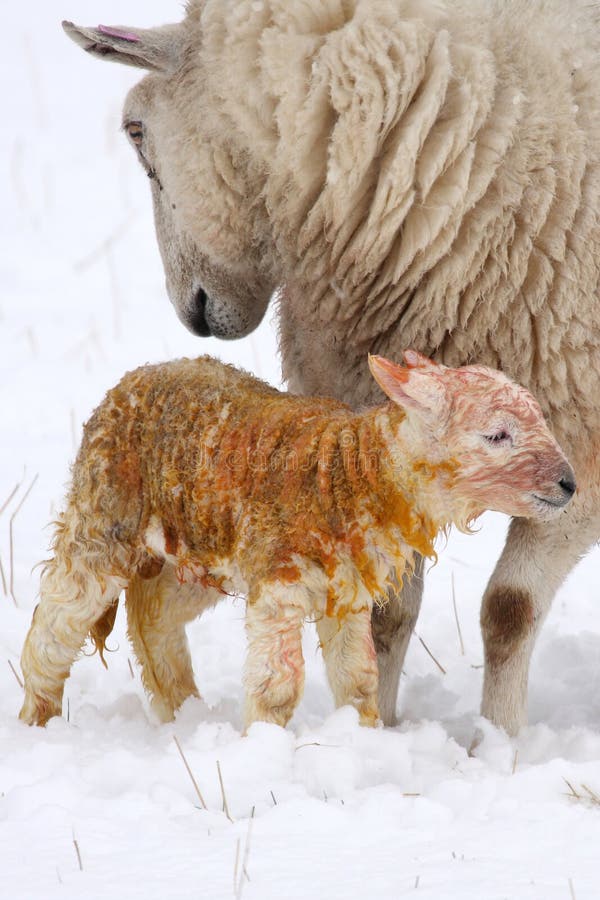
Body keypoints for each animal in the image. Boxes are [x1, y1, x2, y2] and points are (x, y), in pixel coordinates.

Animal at [62, 1, 600, 740]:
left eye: (136, 130)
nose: (191, 312)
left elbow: (509, 610)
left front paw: (497, 743)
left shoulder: (578, 451)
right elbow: (386, 610)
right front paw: (378, 731)